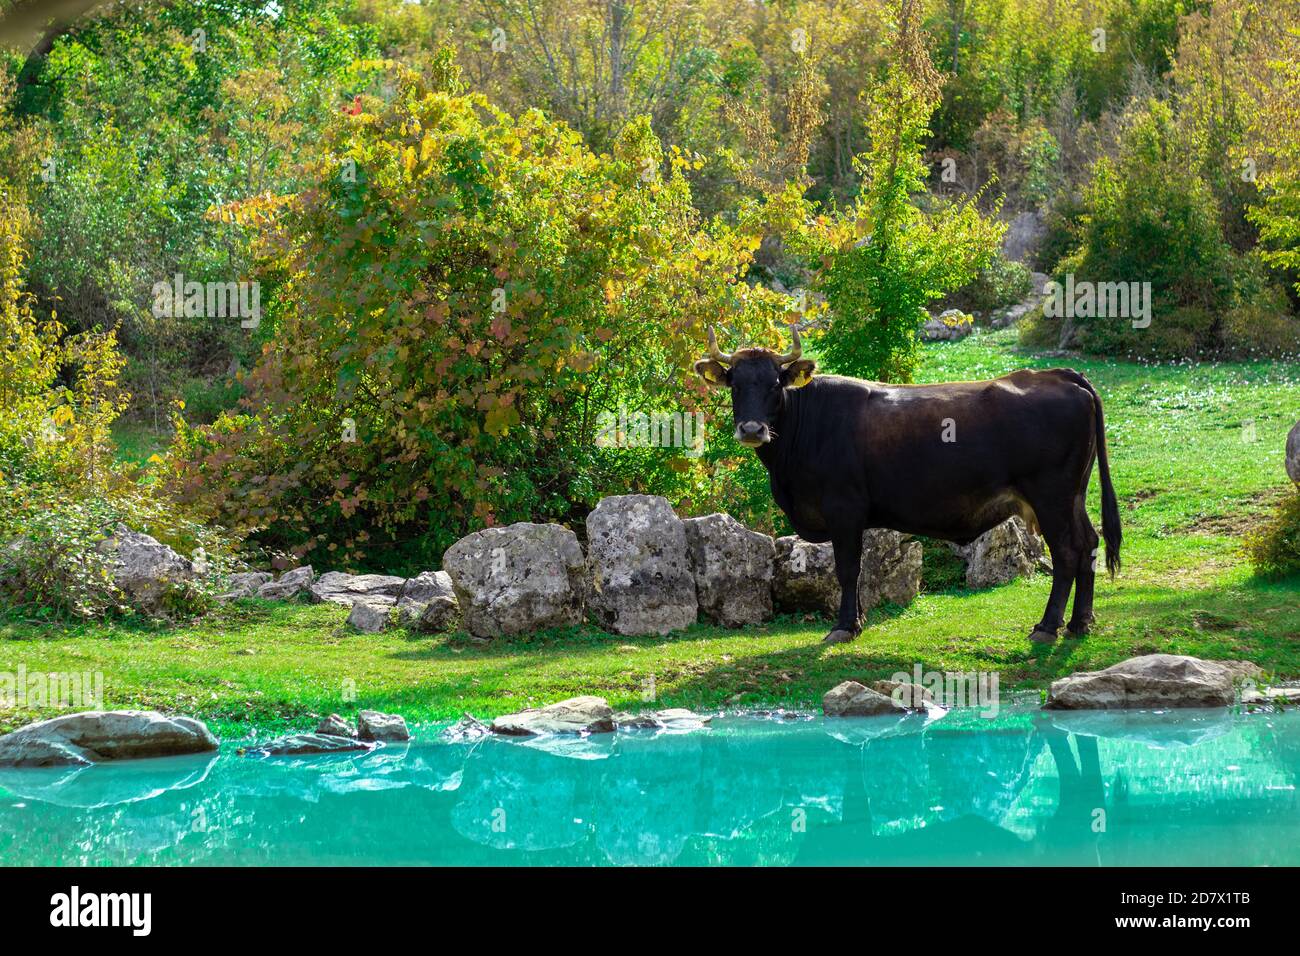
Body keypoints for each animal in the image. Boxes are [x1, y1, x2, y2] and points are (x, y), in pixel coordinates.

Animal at [694, 326, 1121, 645]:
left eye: (774, 384)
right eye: (735, 384)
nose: (752, 429)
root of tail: (1057, 374)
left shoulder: (843, 508)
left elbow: (847, 568)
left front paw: (844, 626)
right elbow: (856, 570)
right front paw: (857, 620)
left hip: (1051, 496)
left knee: (1067, 553)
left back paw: (1048, 627)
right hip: (1073, 496)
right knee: (1088, 543)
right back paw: (1080, 623)